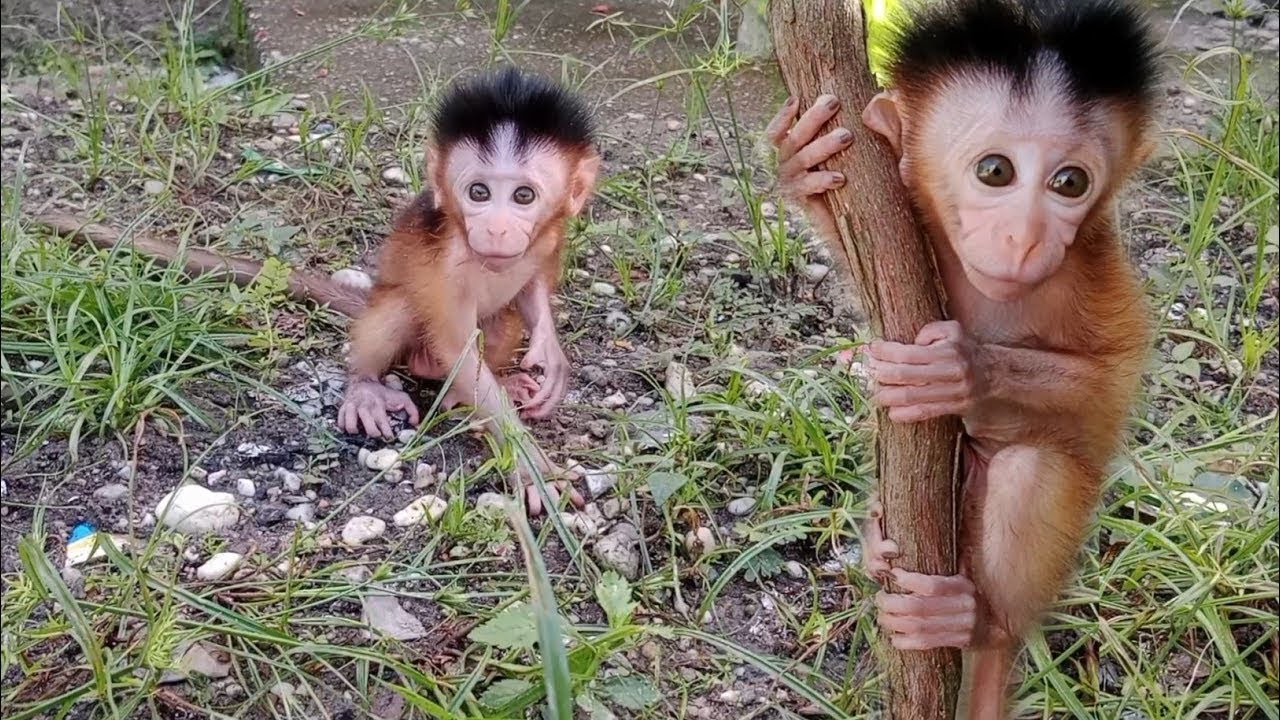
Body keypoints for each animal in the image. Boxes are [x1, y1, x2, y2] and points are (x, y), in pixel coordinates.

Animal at [766, 0, 1158, 716]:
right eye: (996, 171)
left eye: (1070, 183)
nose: (1025, 237)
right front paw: (802, 165)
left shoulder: (1089, 270)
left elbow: (1108, 387)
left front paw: (961, 370)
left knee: (1030, 470)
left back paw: (978, 623)